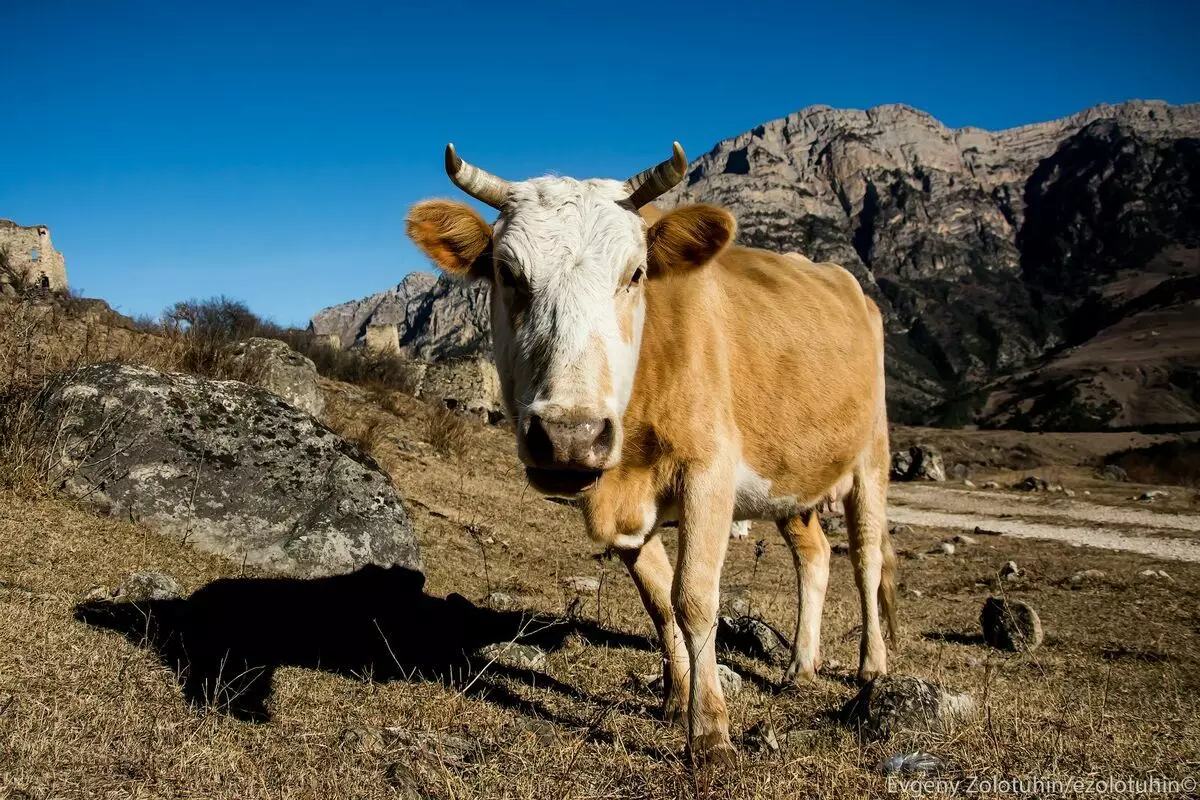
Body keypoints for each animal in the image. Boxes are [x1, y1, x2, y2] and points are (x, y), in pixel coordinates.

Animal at [408, 142, 897, 762]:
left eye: (635, 274)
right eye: (507, 272)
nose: (569, 435)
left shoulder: (710, 471)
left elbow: (694, 598)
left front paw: (709, 732)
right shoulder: (617, 505)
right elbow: (660, 601)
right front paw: (675, 699)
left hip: (871, 459)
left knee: (866, 559)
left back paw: (872, 668)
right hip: (794, 477)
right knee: (815, 555)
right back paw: (800, 666)